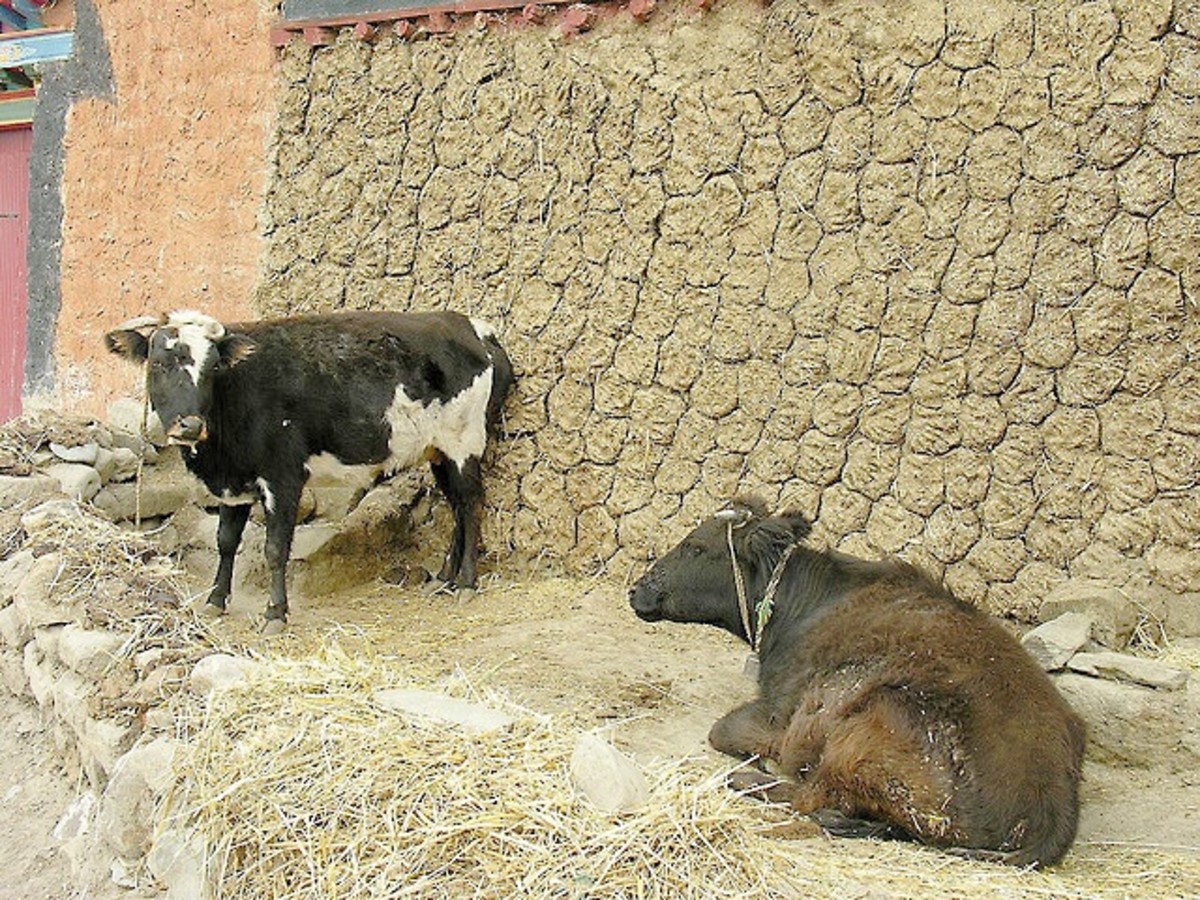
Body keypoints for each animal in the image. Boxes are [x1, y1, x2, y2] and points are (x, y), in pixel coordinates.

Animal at [106, 309, 514, 634]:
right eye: (158, 364)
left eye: (212, 368)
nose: (190, 425)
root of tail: (470, 326)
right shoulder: (234, 481)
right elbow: (226, 541)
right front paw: (216, 600)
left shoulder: (283, 476)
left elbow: (274, 549)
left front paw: (275, 613)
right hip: (439, 451)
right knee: (457, 507)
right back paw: (444, 578)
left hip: (463, 442)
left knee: (471, 505)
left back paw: (466, 583)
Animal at [629, 497, 1085, 868]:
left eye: (696, 546)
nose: (636, 590)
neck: (803, 605)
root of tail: (1053, 811)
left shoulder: (781, 715)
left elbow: (724, 730)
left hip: (863, 733)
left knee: (813, 796)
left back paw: (747, 779)